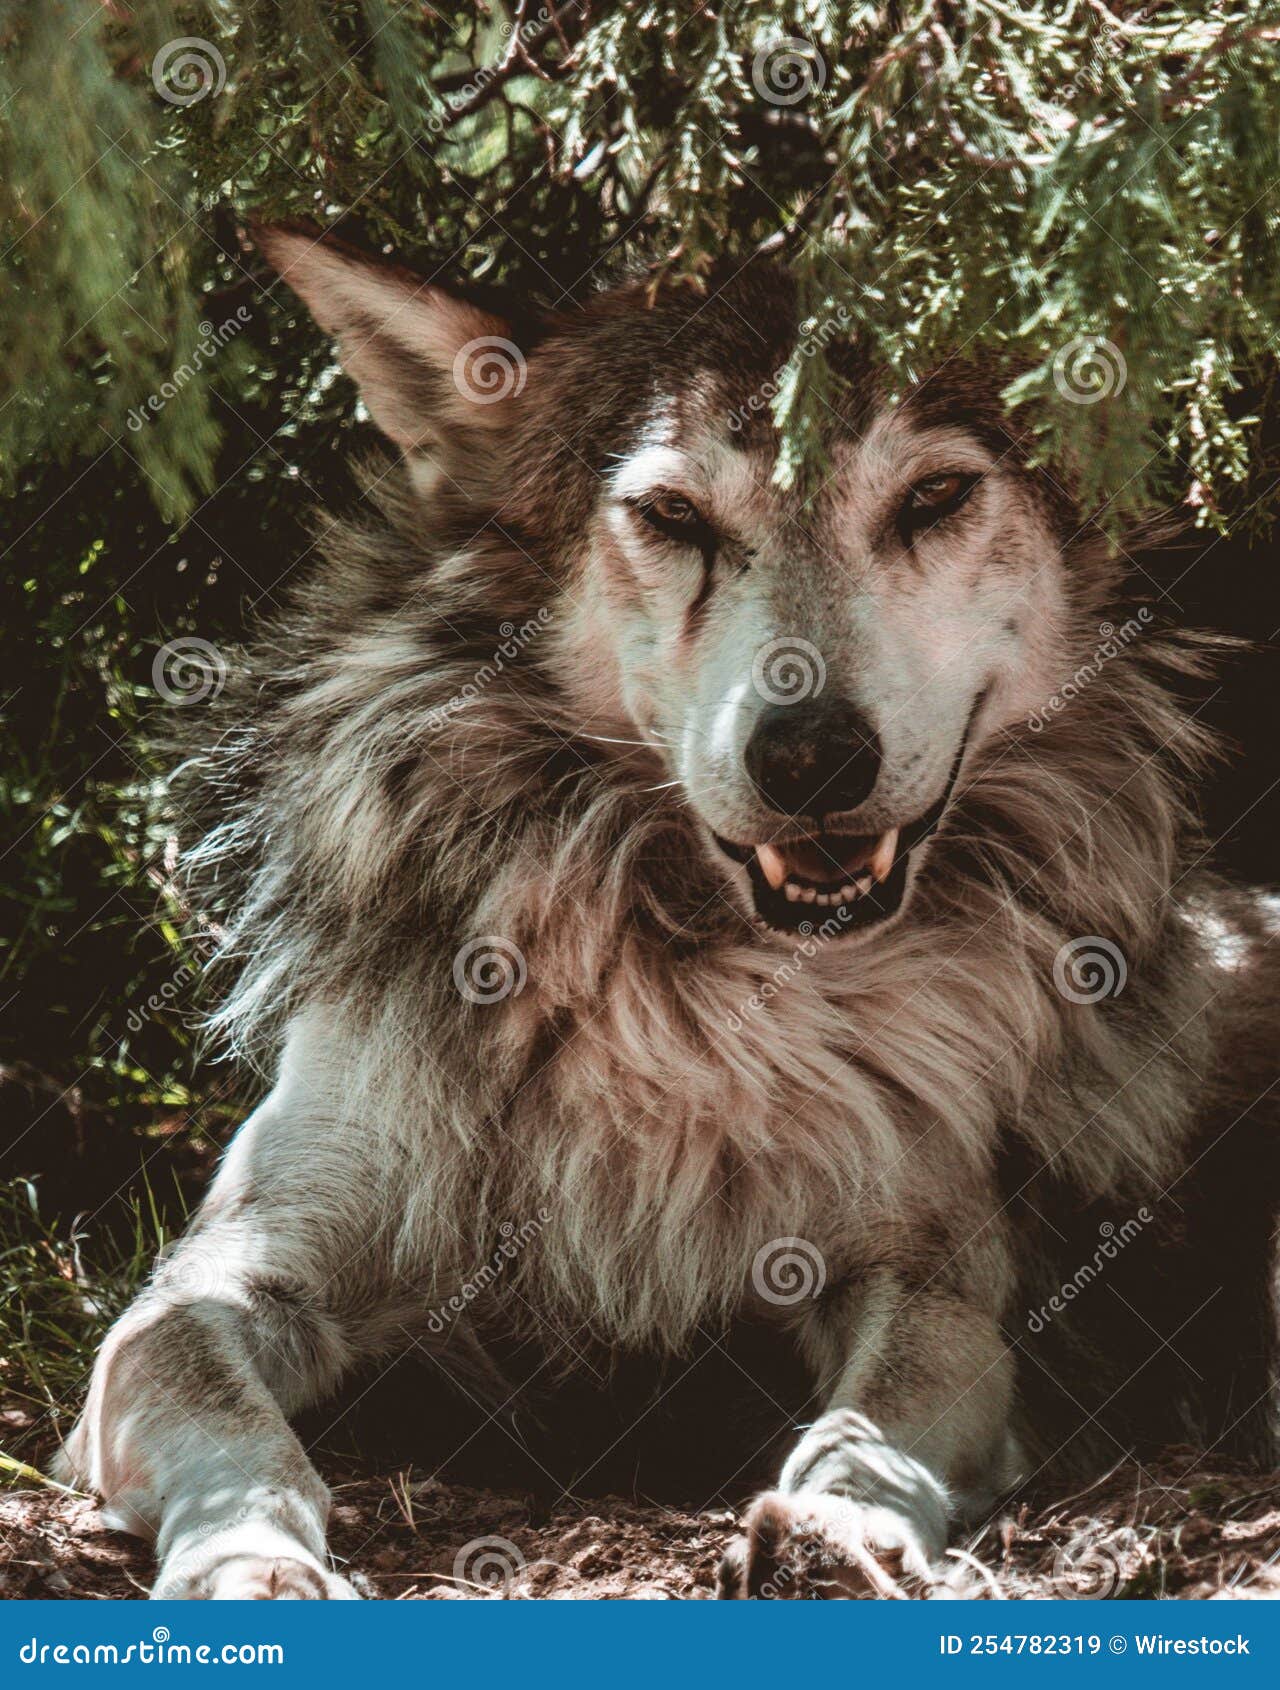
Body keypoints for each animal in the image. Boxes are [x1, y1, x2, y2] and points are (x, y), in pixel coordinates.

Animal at [59, 228, 1279, 1599]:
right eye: (670, 515)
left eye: (932, 498)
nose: (809, 755)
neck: (682, 997)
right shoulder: (234, 1263)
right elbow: (191, 1371)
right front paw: (250, 1561)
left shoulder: (923, 1274)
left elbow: (869, 1418)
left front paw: (832, 1529)